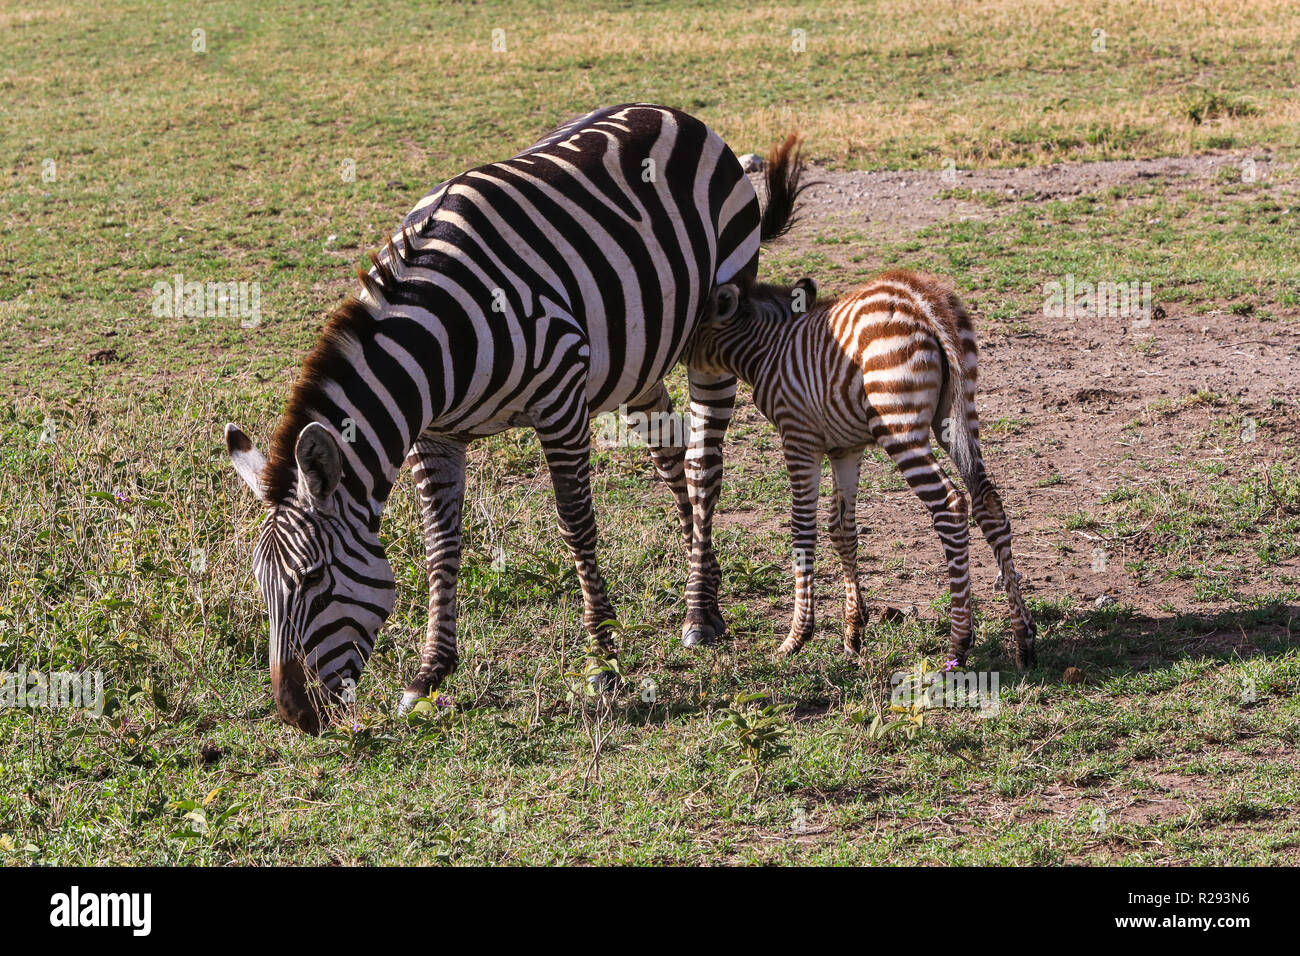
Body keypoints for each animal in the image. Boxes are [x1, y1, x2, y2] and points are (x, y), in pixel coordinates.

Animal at [225, 104, 804, 733]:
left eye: (314, 580)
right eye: (261, 588)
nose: (295, 715)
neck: (436, 342)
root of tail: (670, 112)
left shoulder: (561, 398)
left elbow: (577, 525)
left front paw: (603, 662)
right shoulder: (435, 436)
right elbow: (440, 544)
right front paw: (429, 676)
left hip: (711, 334)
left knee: (703, 466)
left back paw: (699, 613)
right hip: (636, 362)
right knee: (670, 457)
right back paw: (709, 587)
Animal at [684, 267, 1038, 667]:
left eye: (694, 326)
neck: (768, 349)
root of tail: (923, 302)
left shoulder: (799, 437)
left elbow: (802, 530)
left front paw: (797, 637)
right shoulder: (845, 448)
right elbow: (842, 530)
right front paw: (854, 632)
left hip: (899, 427)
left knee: (950, 506)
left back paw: (958, 645)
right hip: (959, 416)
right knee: (988, 504)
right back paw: (1023, 639)